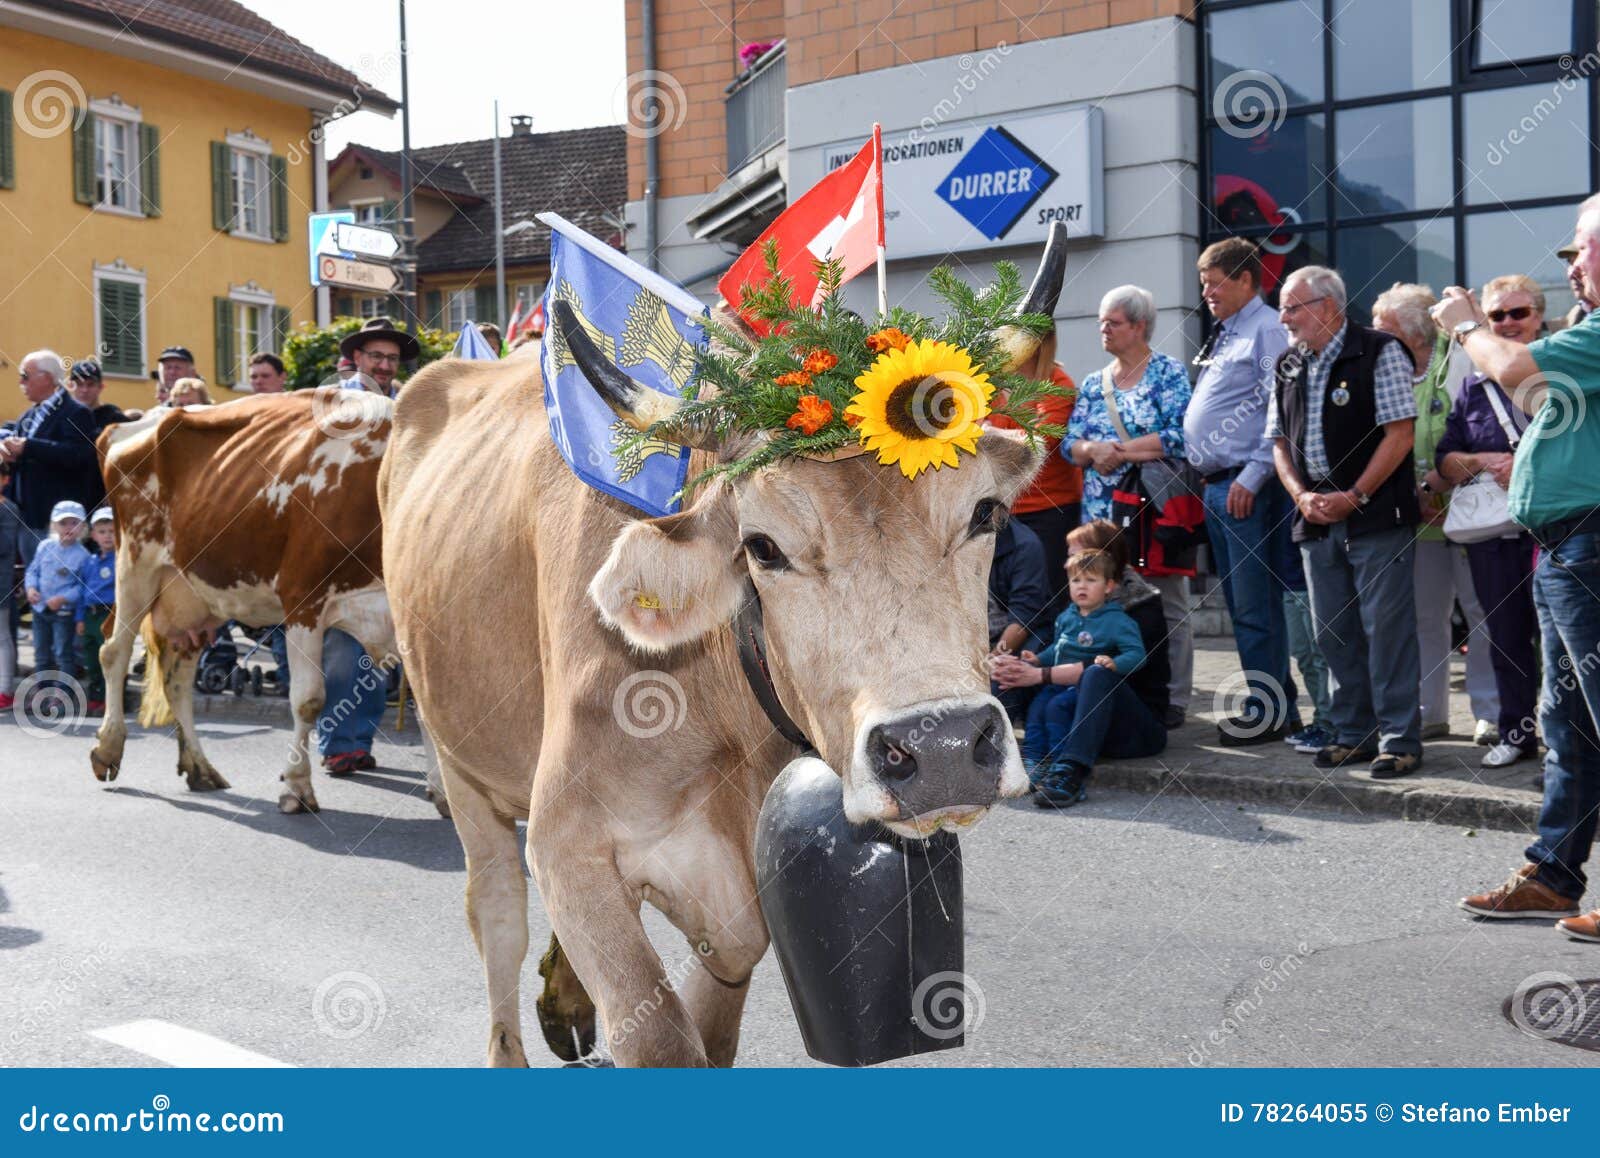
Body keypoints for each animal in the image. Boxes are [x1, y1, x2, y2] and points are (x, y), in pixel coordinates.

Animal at [88, 389, 402, 815]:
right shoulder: (304, 599)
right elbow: (309, 699)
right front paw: (297, 788)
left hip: (195, 595)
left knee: (177, 673)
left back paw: (200, 767)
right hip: (136, 565)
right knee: (114, 650)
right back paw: (108, 748)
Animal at [378, 230, 1068, 1068]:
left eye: (985, 513)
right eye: (763, 547)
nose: (938, 748)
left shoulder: (741, 914)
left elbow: (715, 1019)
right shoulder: (570, 847)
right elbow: (660, 1039)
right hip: (458, 756)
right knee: (497, 913)